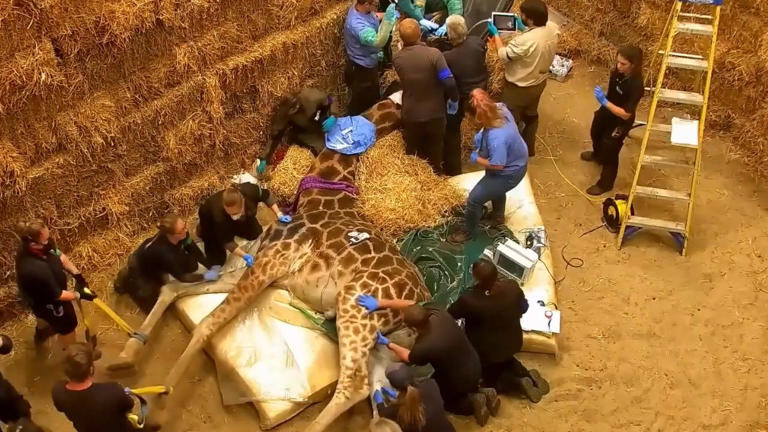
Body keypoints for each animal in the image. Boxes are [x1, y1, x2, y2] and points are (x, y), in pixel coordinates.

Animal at [144, 122, 431, 431]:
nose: (192, 233)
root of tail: (423, 299)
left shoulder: (268, 264)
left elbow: (206, 324)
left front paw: (159, 400)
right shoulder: (252, 269)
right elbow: (173, 289)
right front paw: (133, 350)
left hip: (356, 306)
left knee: (355, 385)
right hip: (383, 343)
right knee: (377, 396)